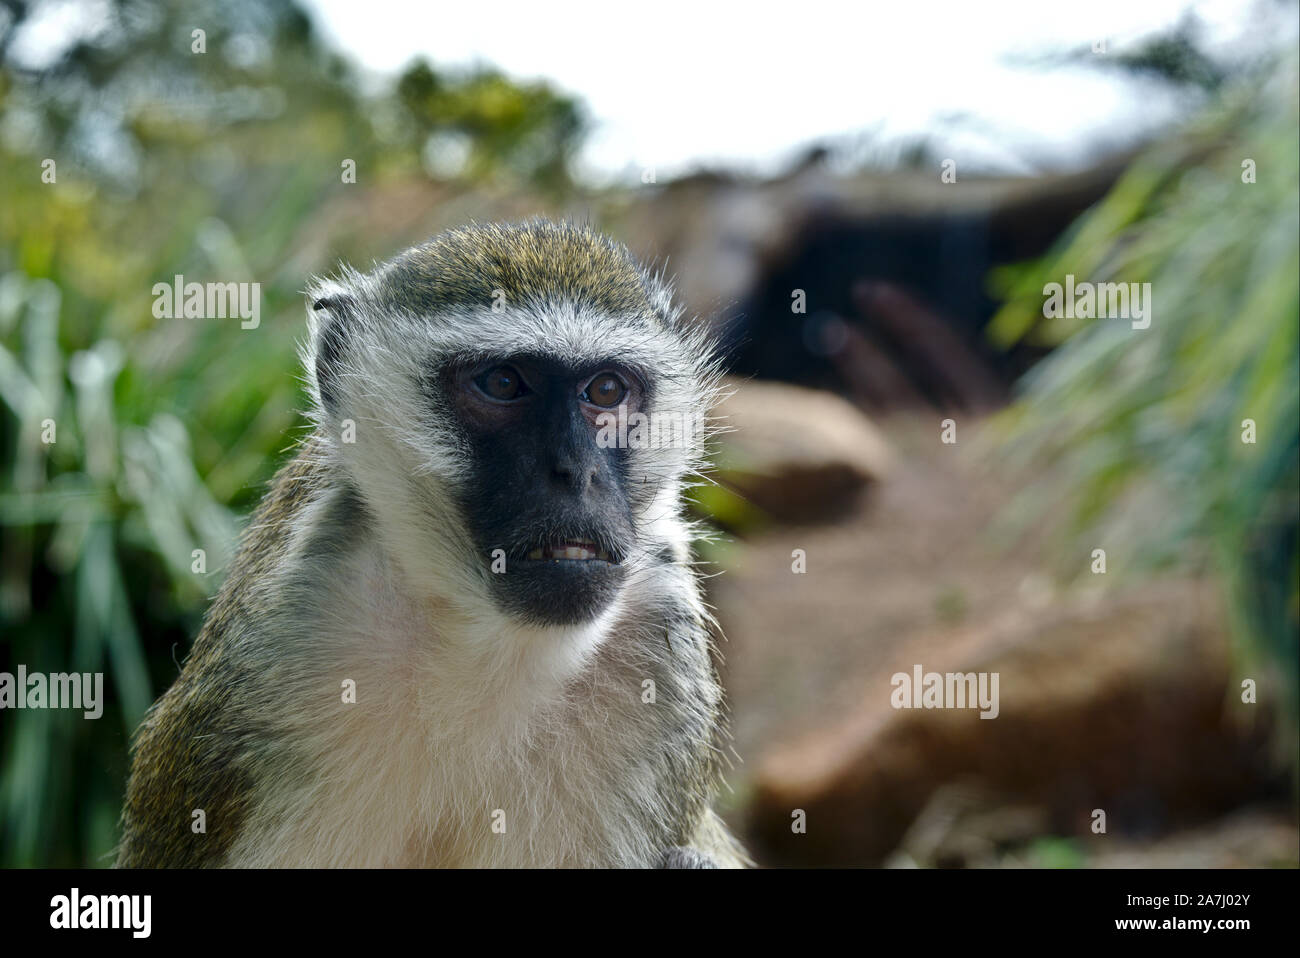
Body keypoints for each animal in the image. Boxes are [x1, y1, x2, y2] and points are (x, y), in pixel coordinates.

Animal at [116, 220, 750, 868]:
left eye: (604, 390)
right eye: (503, 384)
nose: (576, 474)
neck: (485, 642)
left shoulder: (658, 649)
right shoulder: (277, 642)